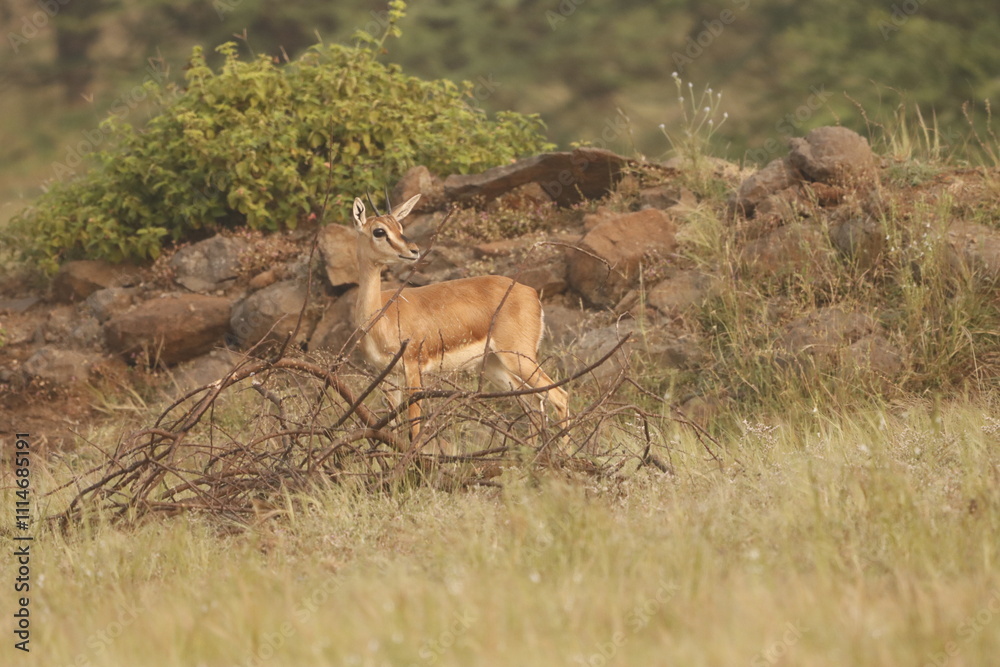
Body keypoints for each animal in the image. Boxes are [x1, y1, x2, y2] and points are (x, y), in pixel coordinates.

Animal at [351, 193, 569, 451]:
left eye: (400, 227)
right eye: (379, 231)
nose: (414, 250)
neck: (380, 316)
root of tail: (531, 293)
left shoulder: (413, 370)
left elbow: (414, 428)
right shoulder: (388, 377)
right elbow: (392, 428)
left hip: (519, 358)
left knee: (559, 396)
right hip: (495, 365)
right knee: (534, 401)